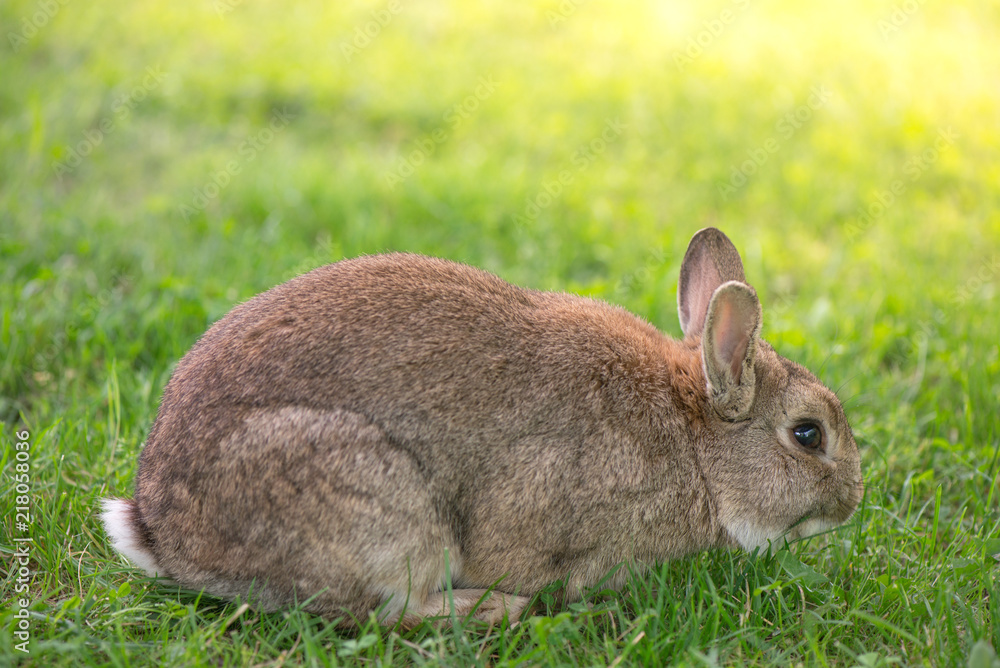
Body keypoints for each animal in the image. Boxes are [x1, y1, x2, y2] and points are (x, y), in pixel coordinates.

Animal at [102, 227, 863, 628]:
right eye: (808, 435)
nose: (853, 503)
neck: (697, 440)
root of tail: (166, 535)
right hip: (380, 506)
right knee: (392, 609)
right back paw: (496, 607)